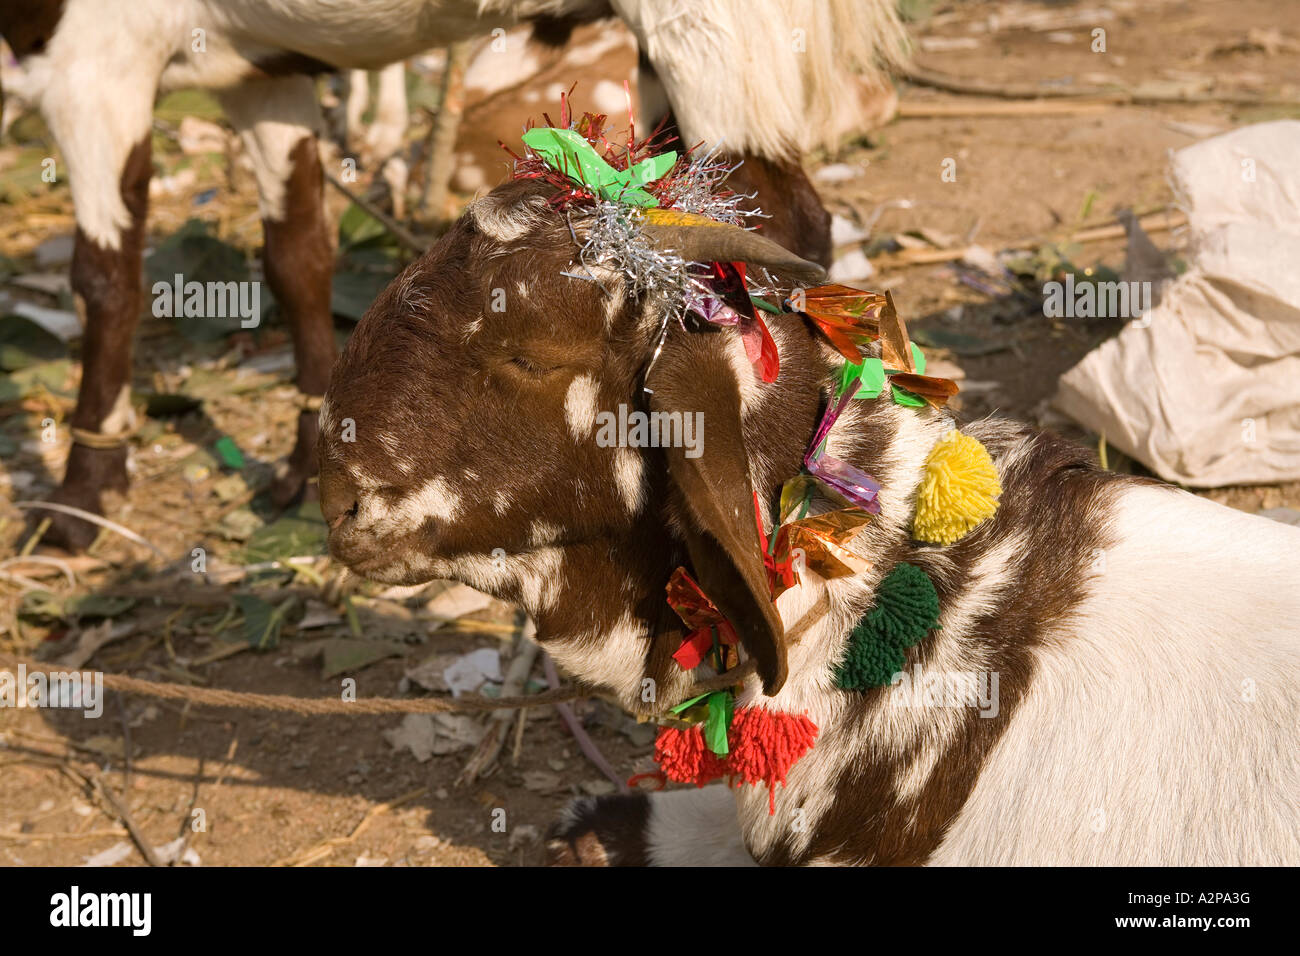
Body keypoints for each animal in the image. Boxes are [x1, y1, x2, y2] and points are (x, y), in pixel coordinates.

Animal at [1, 0, 904, 550]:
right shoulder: (261, 74)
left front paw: (81, 494)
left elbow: (105, 280)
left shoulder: (91, 60)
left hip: (718, 33)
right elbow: (297, 255)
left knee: (782, 226)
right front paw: (305, 457)